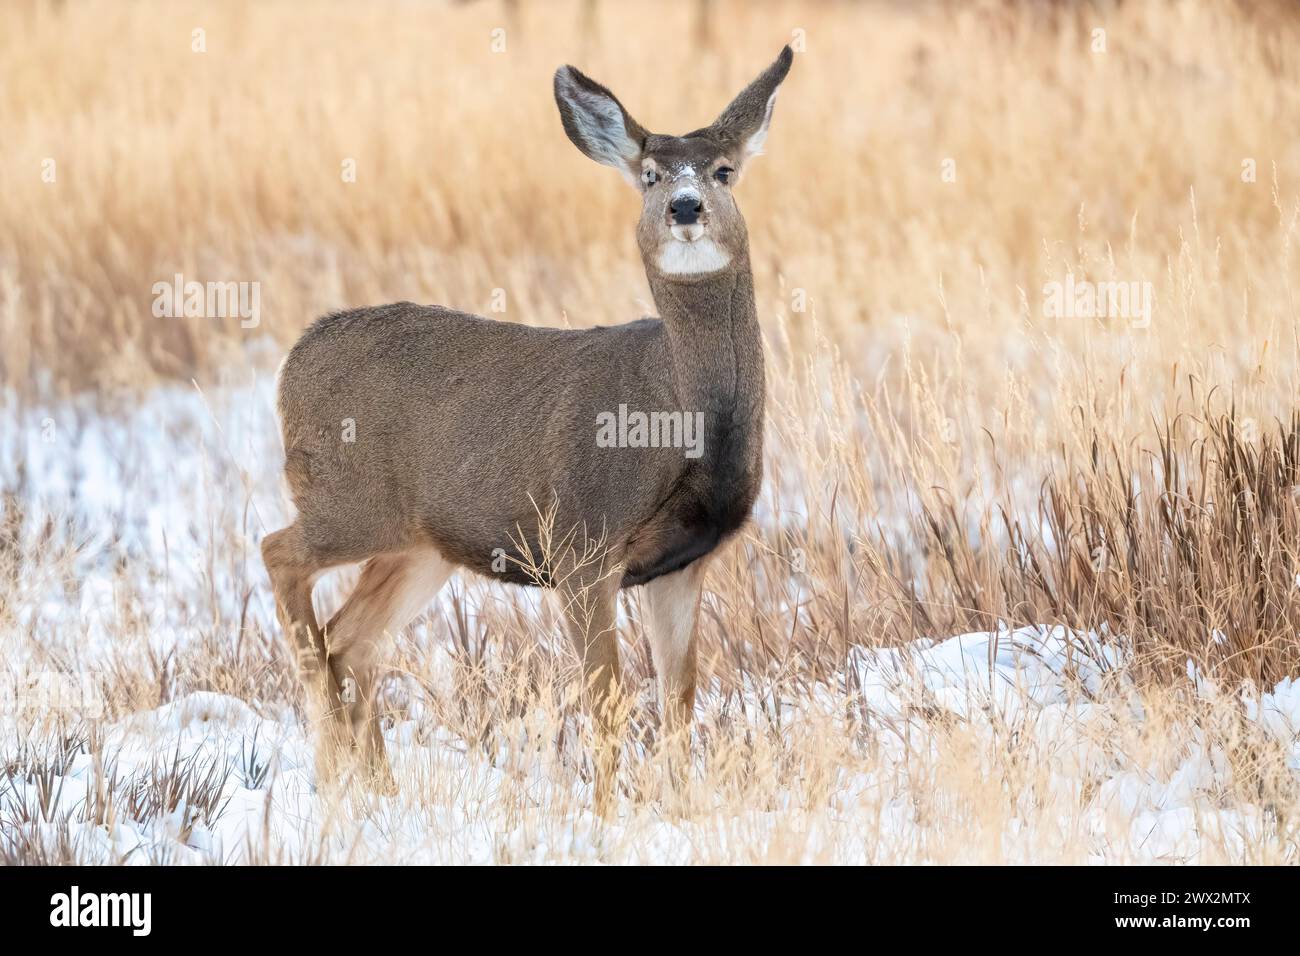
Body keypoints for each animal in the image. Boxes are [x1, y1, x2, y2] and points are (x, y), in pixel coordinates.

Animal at [261, 45, 794, 806]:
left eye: (724, 170)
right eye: (650, 176)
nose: (685, 207)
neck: (678, 418)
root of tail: (292, 359)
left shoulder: (683, 561)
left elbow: (679, 698)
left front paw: (681, 804)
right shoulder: (580, 540)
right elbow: (606, 696)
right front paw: (608, 811)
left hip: (421, 543)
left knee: (351, 640)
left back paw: (377, 790)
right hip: (347, 499)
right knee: (280, 556)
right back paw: (335, 767)